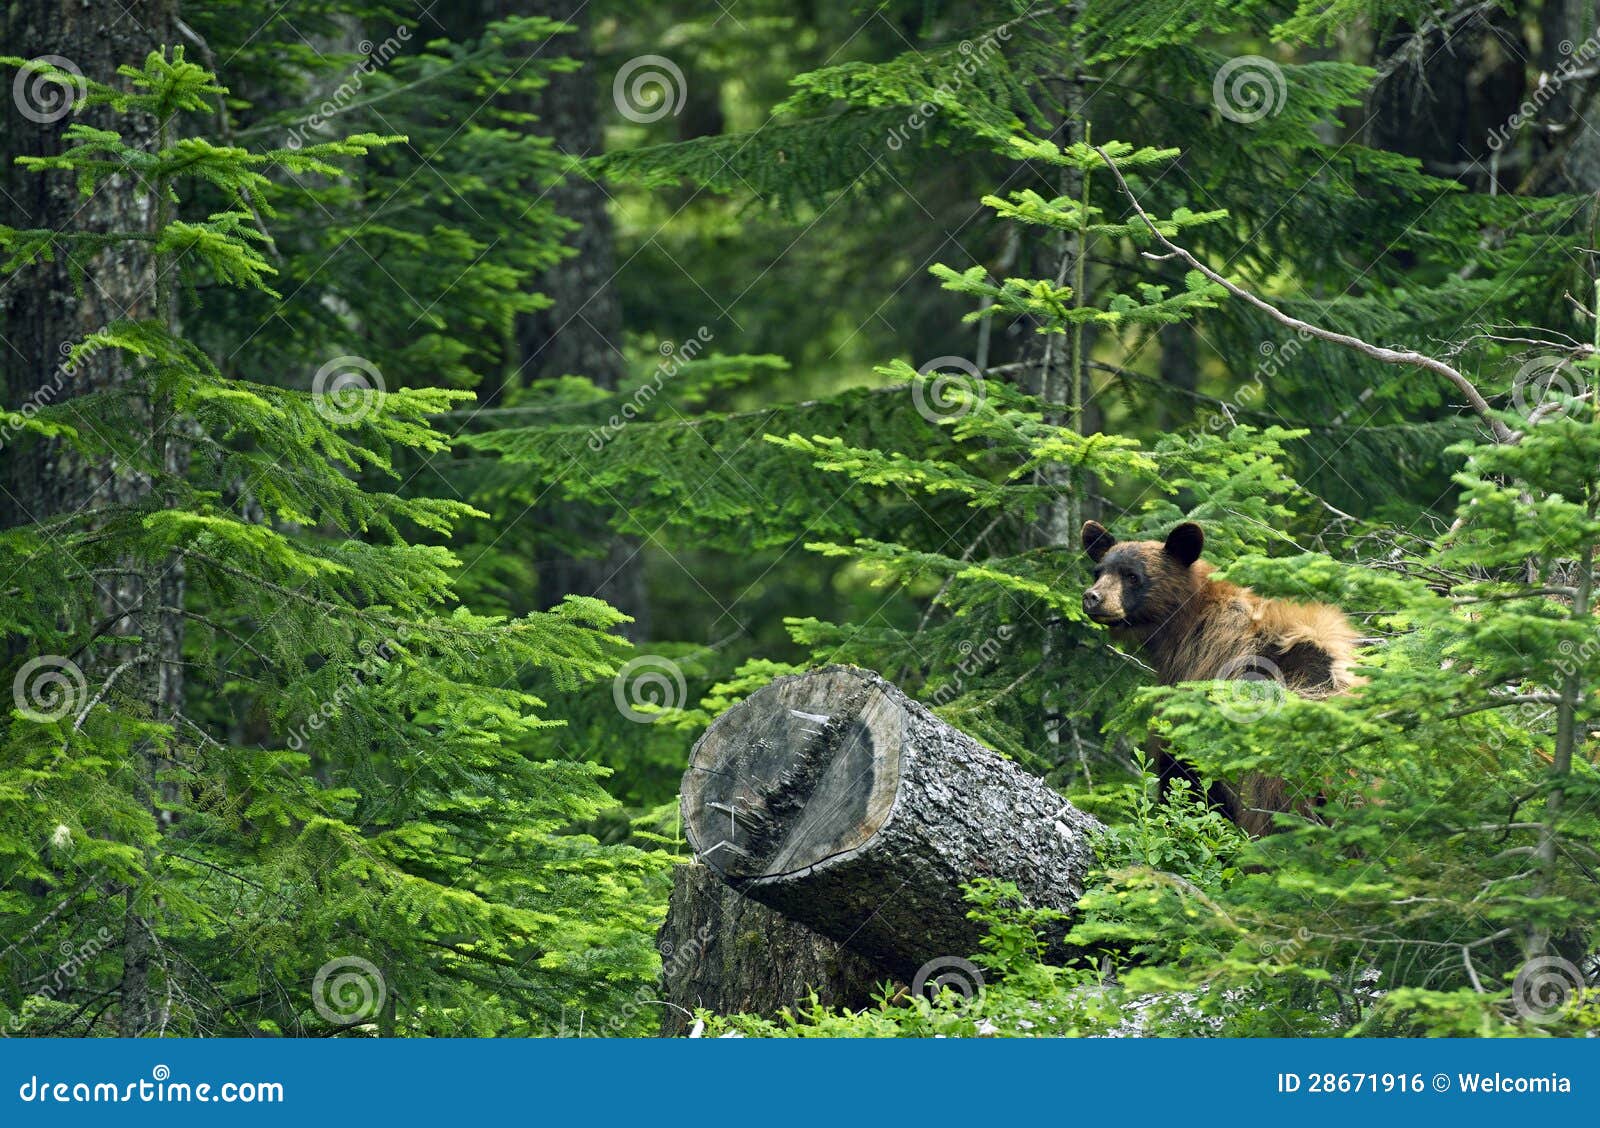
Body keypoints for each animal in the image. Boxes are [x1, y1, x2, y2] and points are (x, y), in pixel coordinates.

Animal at [1080, 518, 1359, 836]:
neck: (1186, 622)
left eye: (1132, 576)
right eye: (1098, 571)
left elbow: (1183, 770)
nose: (1092, 597)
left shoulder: (1198, 680)